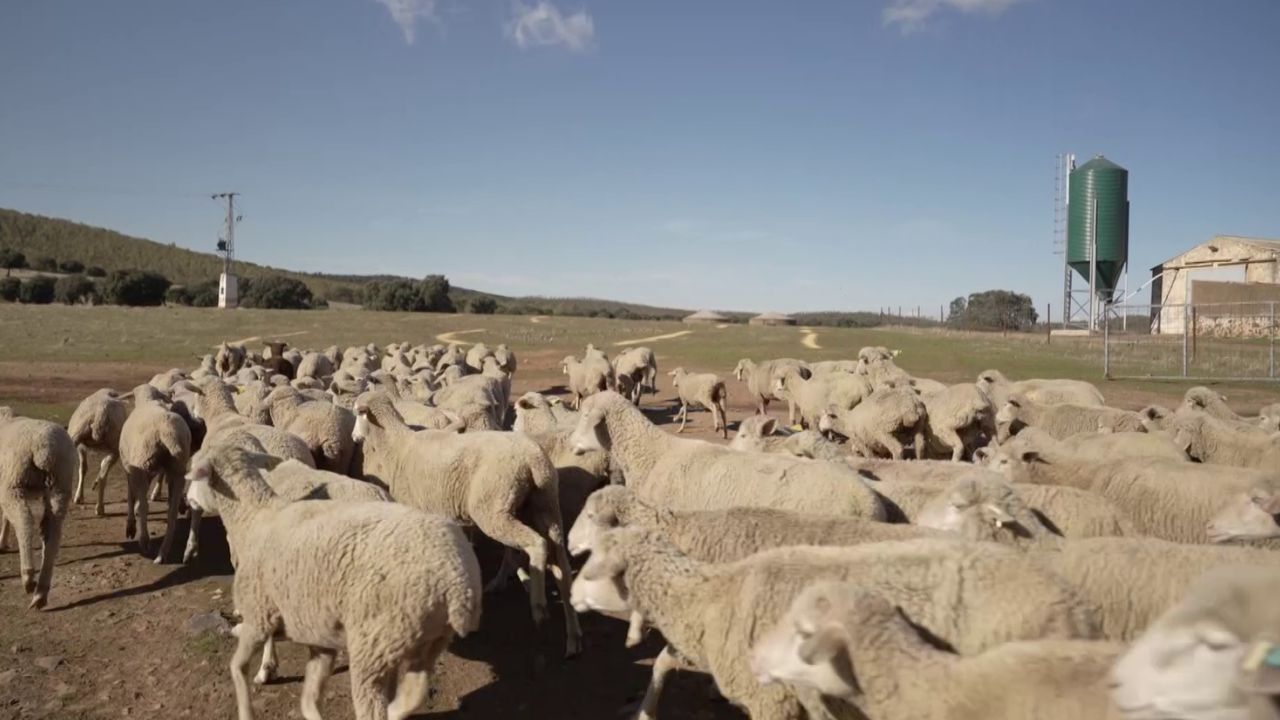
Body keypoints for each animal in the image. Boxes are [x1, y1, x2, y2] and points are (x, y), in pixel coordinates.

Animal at [0, 408, 75, 609]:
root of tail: (45, 449)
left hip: (14, 483)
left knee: (24, 521)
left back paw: (28, 577)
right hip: (60, 486)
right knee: (52, 532)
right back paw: (41, 591)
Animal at [68, 388, 128, 517]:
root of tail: (100, 414)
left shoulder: (82, 446)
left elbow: (84, 469)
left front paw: (79, 496)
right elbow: (85, 469)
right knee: (102, 477)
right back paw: (100, 507)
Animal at [117, 385, 192, 563]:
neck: (147, 400)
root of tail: (167, 432)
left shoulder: (129, 467)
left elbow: (131, 496)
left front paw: (130, 525)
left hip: (142, 463)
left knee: (144, 506)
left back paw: (144, 540)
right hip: (177, 469)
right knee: (171, 513)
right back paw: (163, 553)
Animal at [184, 444, 481, 720]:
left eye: (196, 471)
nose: (188, 501)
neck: (255, 517)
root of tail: (457, 585)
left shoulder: (259, 613)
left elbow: (238, 667)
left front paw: (253, 694)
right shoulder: (316, 631)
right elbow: (310, 696)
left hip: (373, 642)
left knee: (374, 706)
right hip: (426, 640)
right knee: (414, 691)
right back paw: (396, 709)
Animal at [353, 393, 582, 657]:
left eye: (355, 413)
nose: (354, 437)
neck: (397, 447)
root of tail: (532, 459)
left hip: (494, 507)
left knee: (537, 544)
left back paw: (539, 606)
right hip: (546, 506)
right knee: (562, 569)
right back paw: (573, 638)